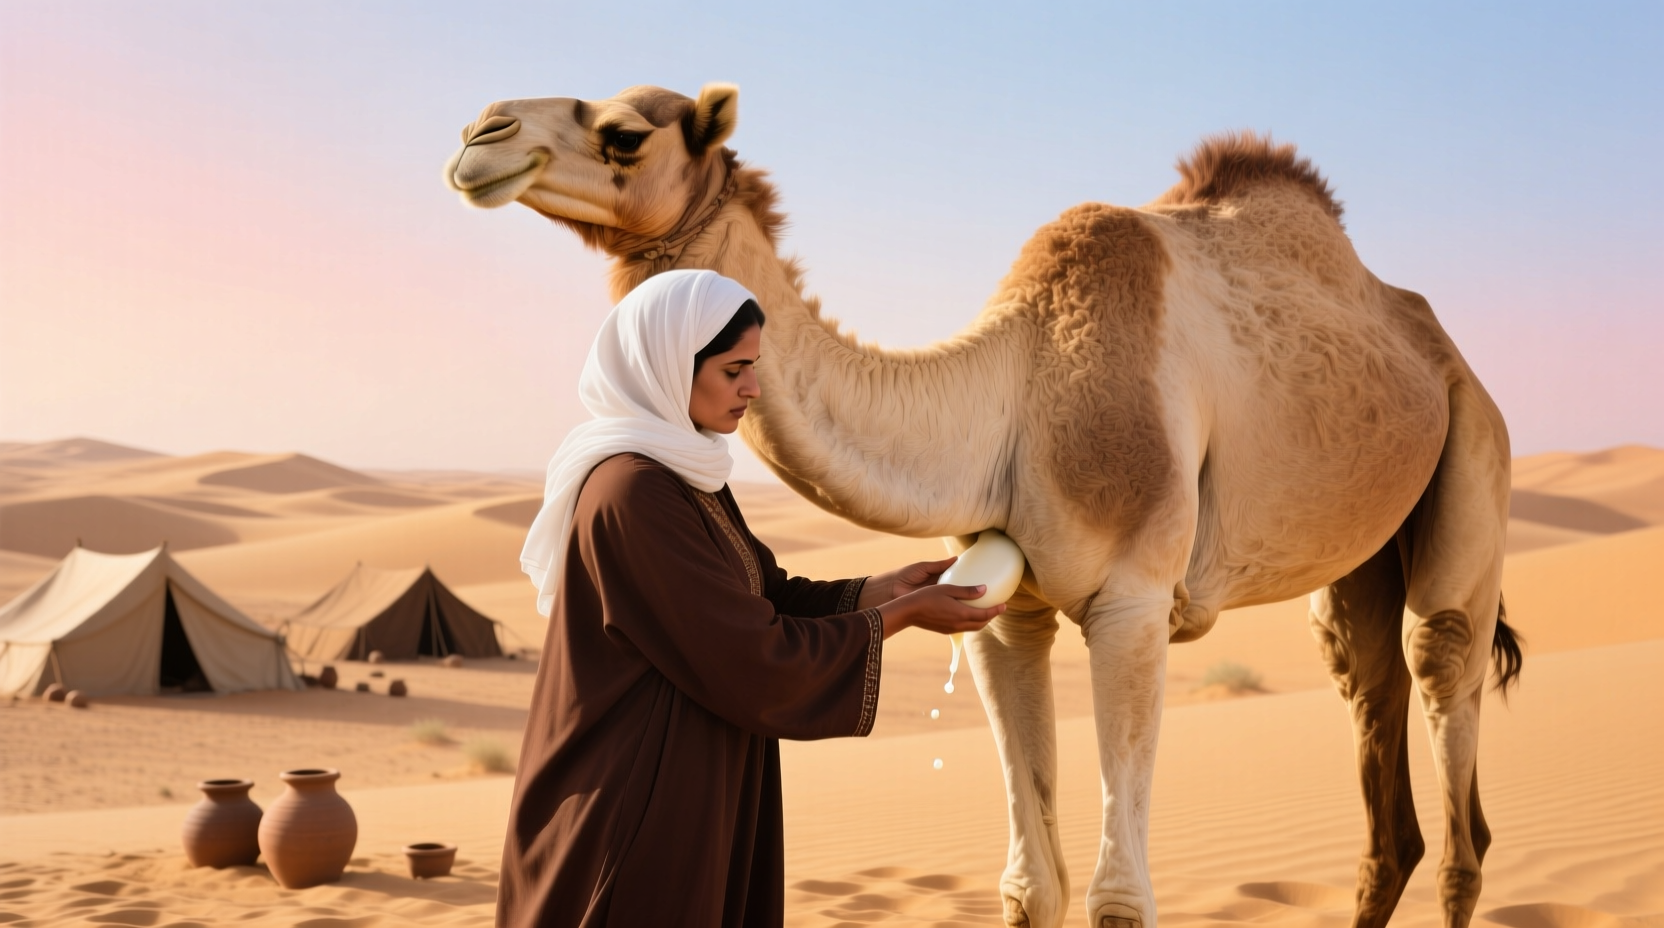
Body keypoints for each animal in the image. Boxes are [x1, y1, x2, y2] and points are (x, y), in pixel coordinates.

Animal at [444, 84, 1523, 928]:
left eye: (625, 131)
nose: (480, 134)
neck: (1011, 388)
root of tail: (1439, 344)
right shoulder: (1011, 616)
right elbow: (1029, 883)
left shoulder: (1133, 602)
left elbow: (1117, 894)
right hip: (1359, 558)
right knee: (1375, 731)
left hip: (1474, 448)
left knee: (1448, 710)